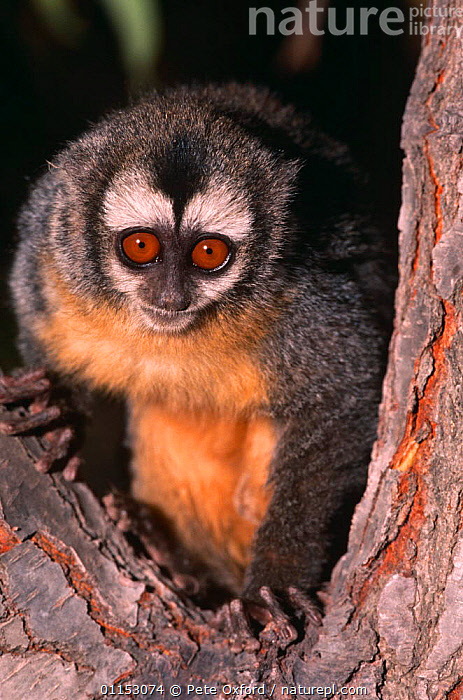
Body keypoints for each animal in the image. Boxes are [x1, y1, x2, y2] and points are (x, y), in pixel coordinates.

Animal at [3, 84, 391, 637]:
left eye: (208, 253)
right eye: (140, 245)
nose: (171, 296)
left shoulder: (305, 297)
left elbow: (342, 395)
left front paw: (275, 583)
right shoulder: (54, 246)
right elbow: (36, 308)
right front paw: (58, 406)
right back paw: (166, 549)